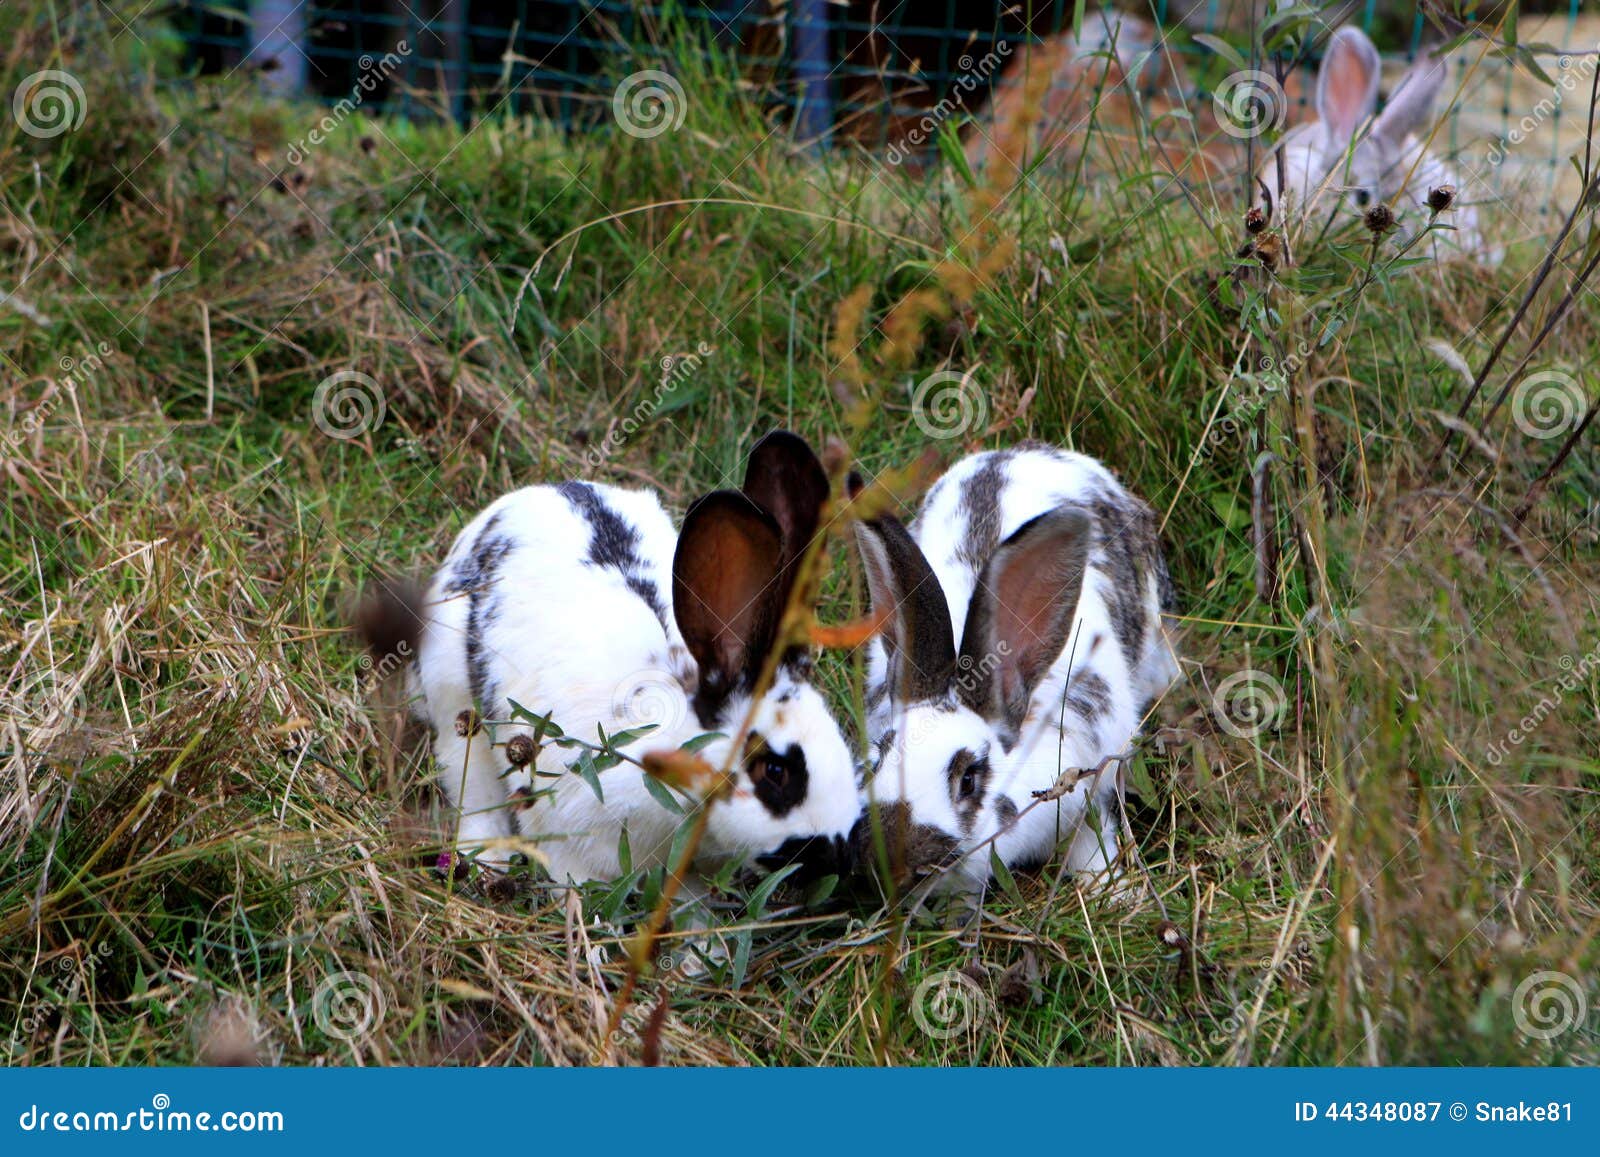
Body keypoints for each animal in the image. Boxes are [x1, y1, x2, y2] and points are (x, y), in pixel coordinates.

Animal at [850, 444, 1178, 894]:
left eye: (968, 780)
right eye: (878, 761)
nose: (893, 868)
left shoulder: (1088, 786)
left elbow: (1092, 843)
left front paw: (1112, 892)